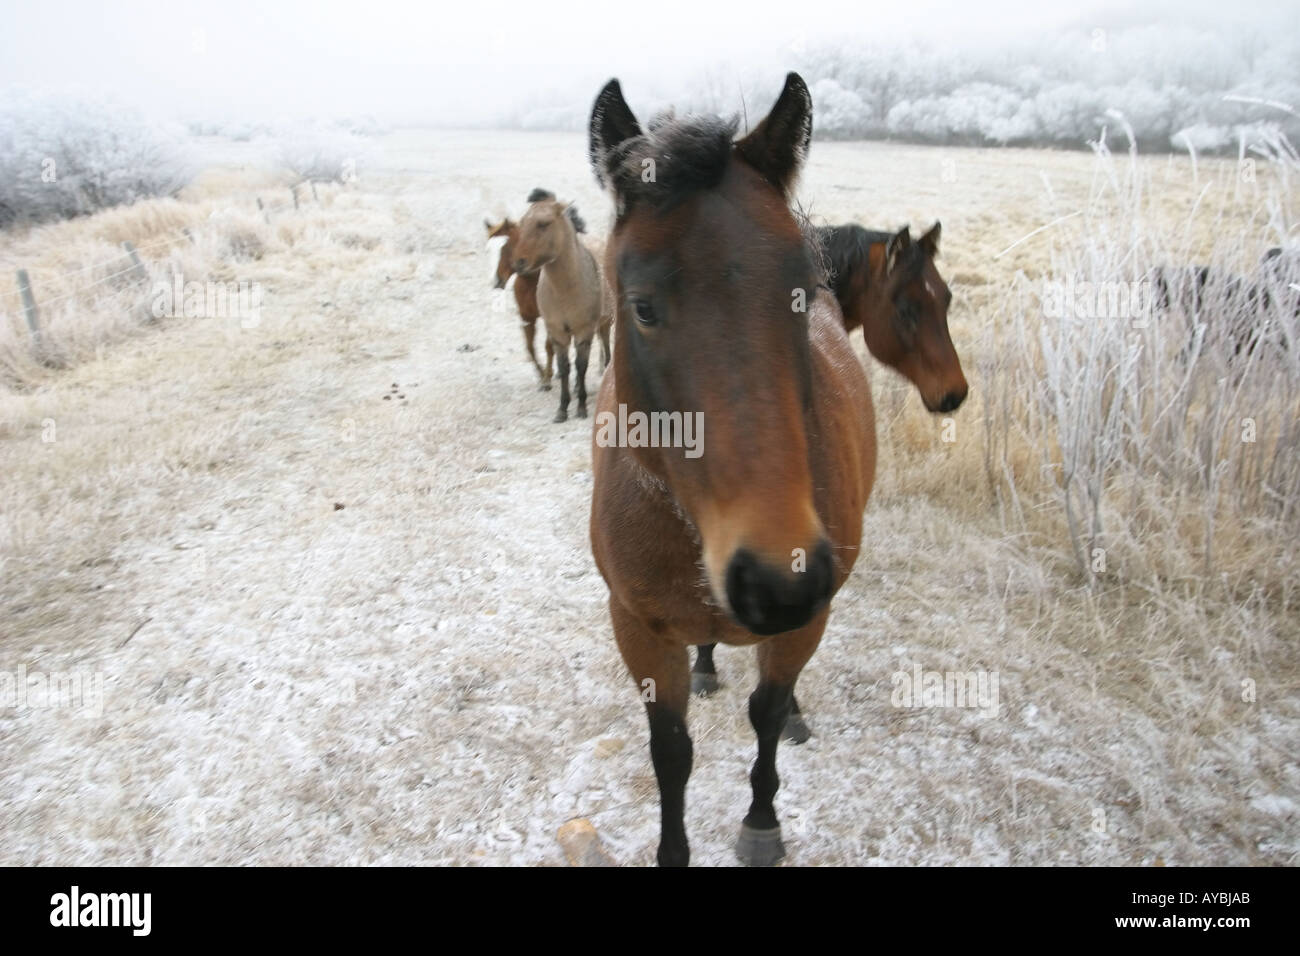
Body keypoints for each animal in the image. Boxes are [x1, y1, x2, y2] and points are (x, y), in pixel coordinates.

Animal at [512, 194, 613, 421]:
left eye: (543, 224)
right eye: (522, 223)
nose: (519, 262)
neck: (565, 289)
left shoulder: (584, 330)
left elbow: (581, 366)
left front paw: (581, 407)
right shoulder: (558, 331)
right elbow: (564, 367)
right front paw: (562, 408)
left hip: (606, 320)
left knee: (606, 343)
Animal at [588, 72, 877, 866]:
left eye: (802, 293)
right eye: (642, 306)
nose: (778, 580)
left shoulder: (807, 619)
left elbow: (767, 712)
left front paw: (761, 822)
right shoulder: (638, 629)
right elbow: (671, 752)